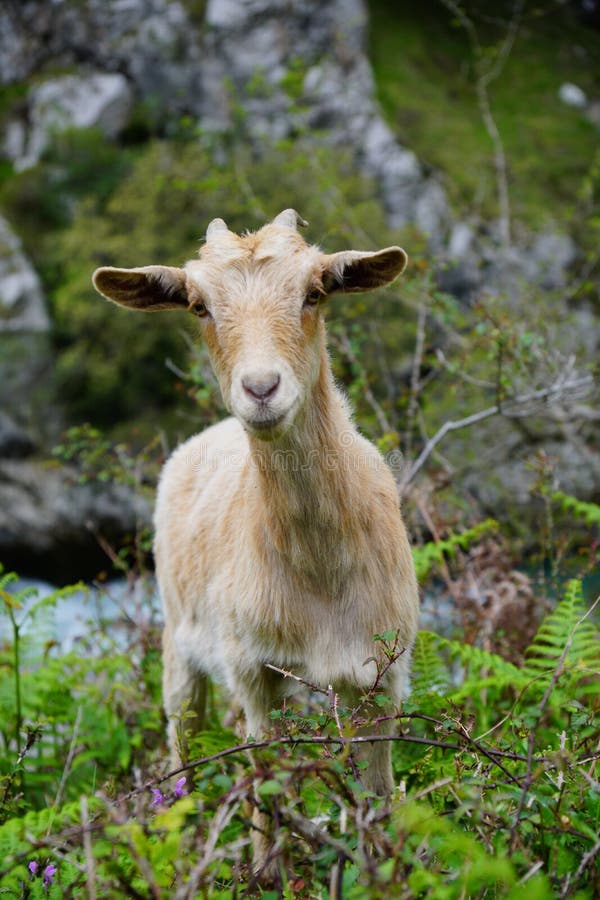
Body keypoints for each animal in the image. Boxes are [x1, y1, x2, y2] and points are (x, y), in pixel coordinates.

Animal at [92, 209, 419, 875]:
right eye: (198, 306)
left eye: (315, 292)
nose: (262, 388)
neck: (320, 577)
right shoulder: (250, 668)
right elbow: (265, 789)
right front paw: (267, 873)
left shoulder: (384, 675)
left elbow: (376, 798)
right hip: (178, 646)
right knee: (184, 751)